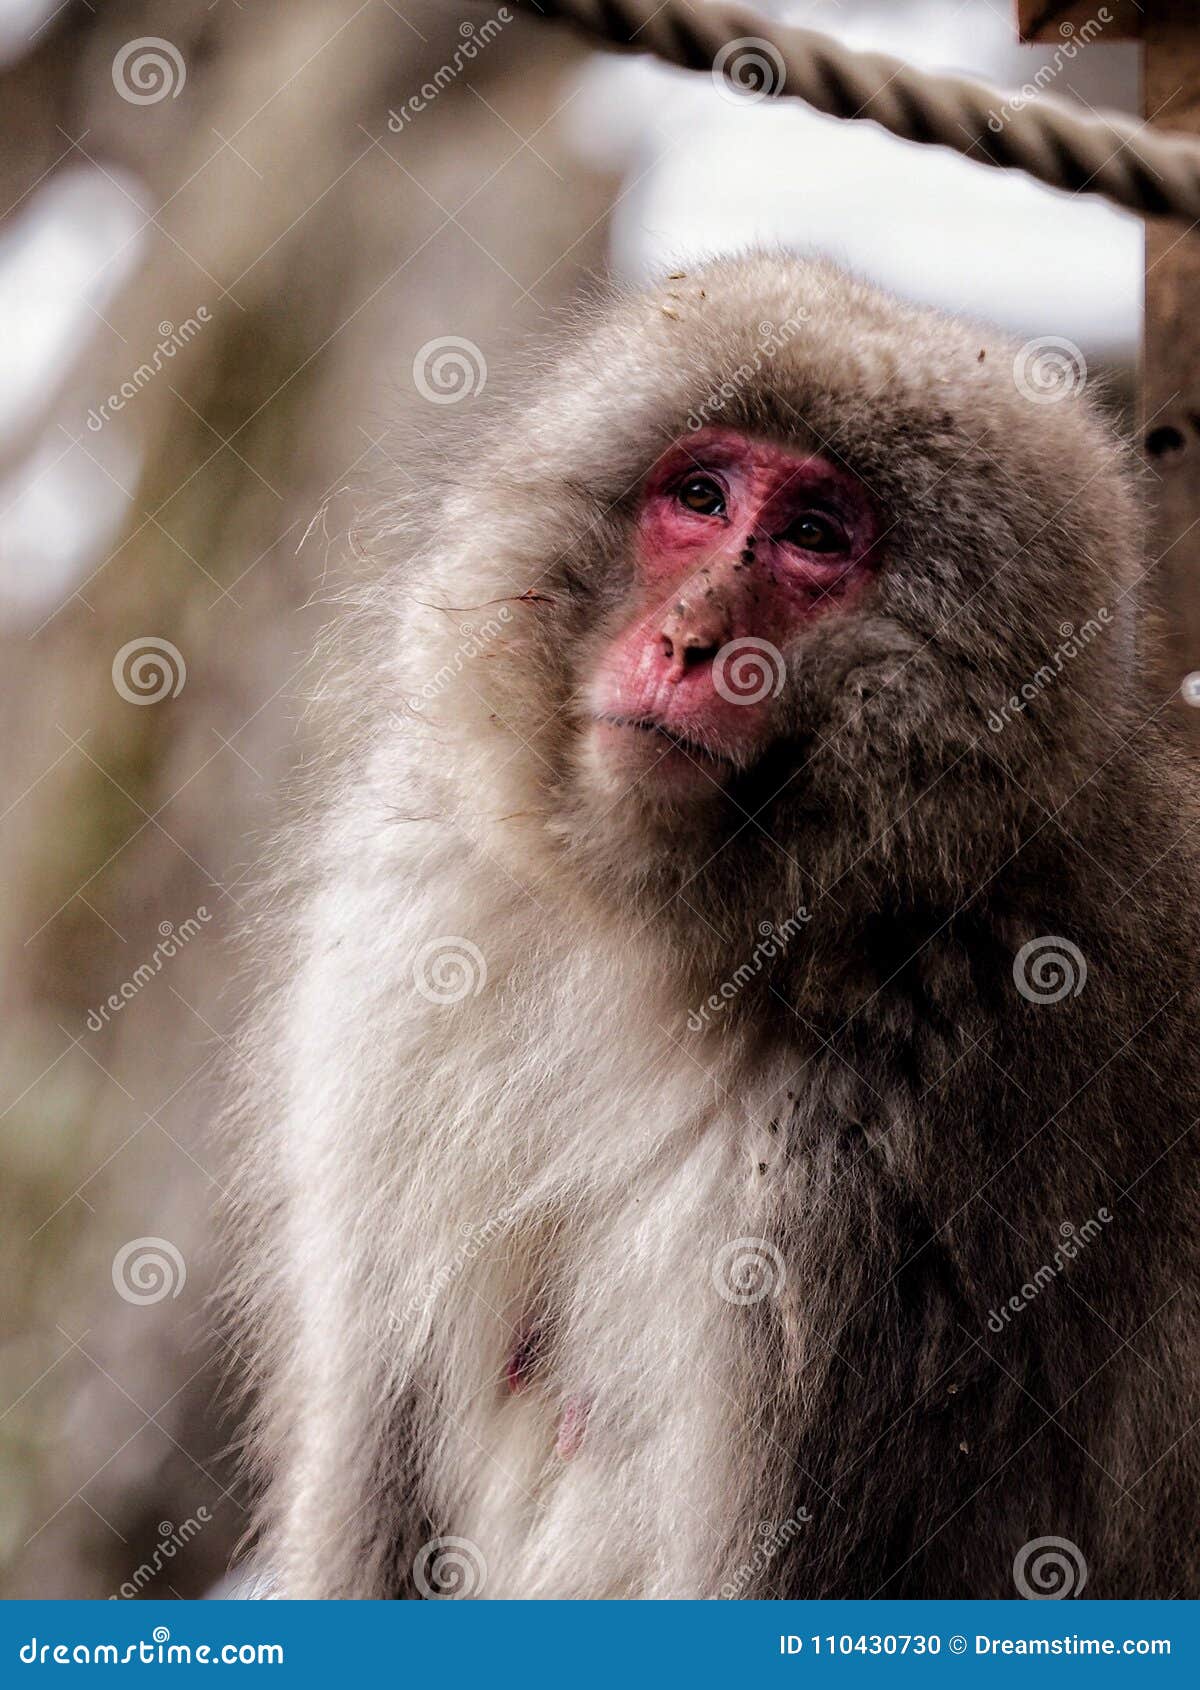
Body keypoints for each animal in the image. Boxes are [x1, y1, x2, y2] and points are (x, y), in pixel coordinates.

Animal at [227, 252, 1200, 1600]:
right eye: (700, 495)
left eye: (813, 538)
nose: (690, 643)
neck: (683, 938)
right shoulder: (411, 930)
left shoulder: (928, 1133)